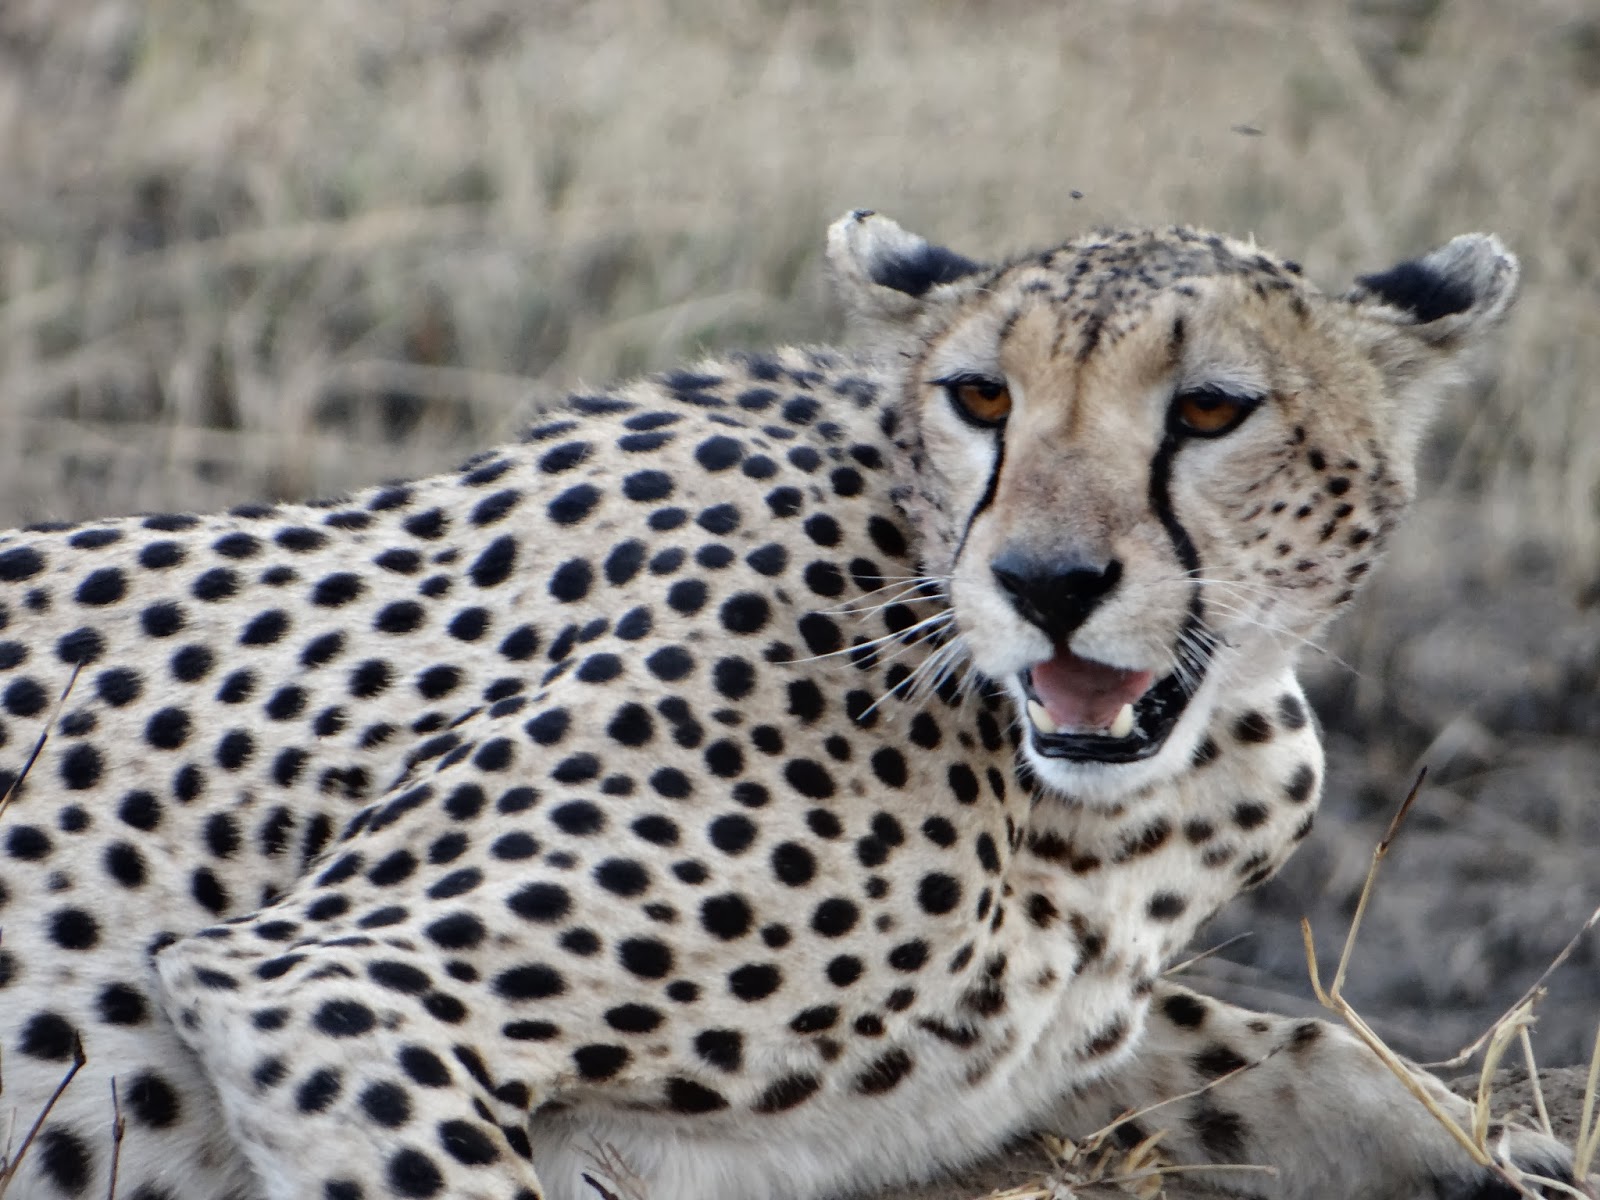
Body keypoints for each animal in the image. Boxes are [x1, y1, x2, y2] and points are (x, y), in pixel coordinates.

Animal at [0, 209, 1573, 1200]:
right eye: (982, 400)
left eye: (1209, 409)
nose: (1047, 582)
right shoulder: (322, 982)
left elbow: (1293, 1053)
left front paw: (1497, 1152)